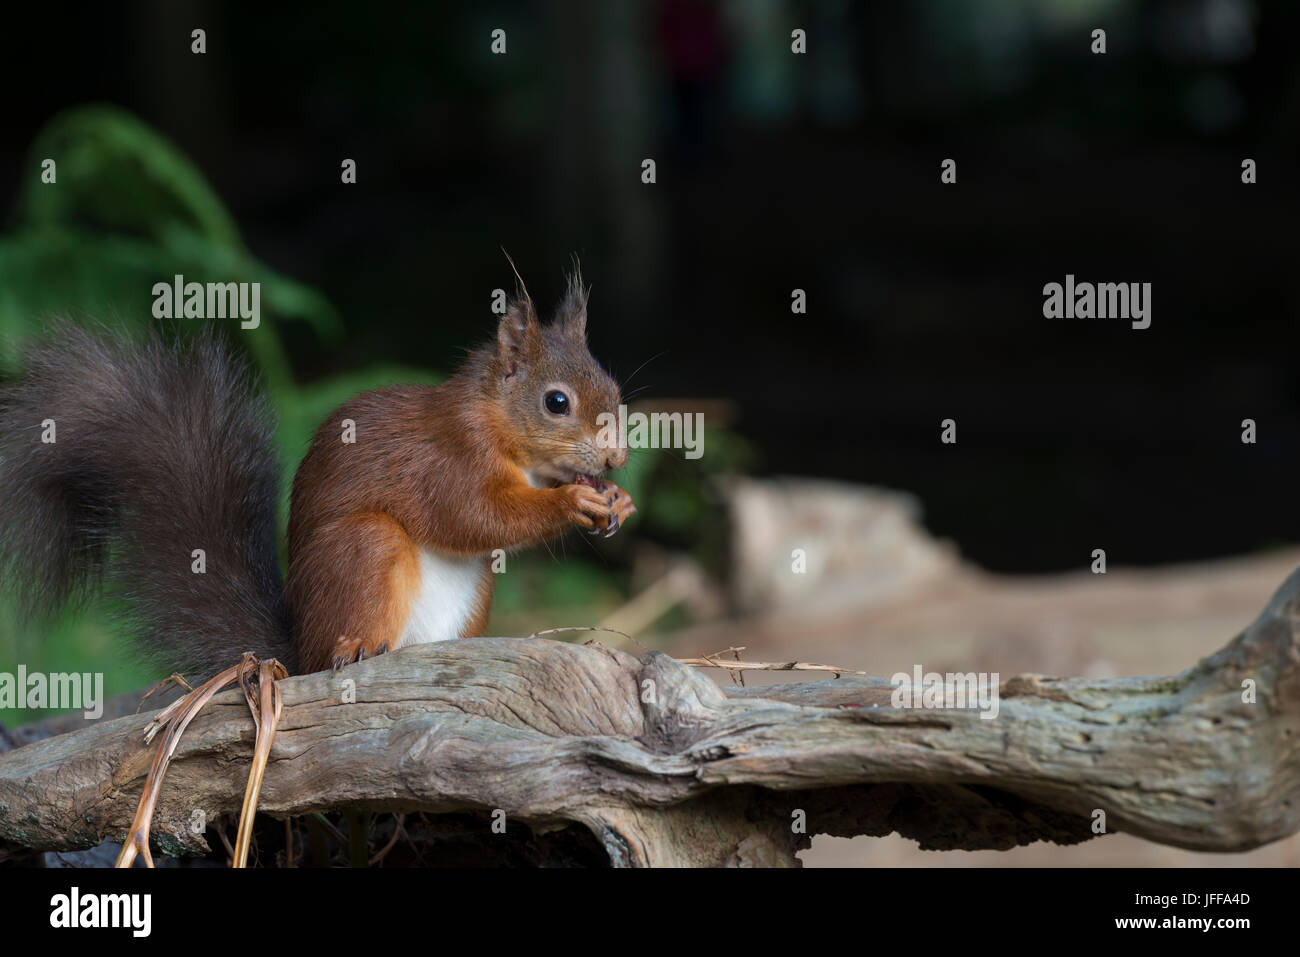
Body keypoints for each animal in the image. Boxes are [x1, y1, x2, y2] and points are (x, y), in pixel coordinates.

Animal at [0, 270, 636, 680]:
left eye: (612, 384)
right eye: (557, 402)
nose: (617, 458)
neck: (494, 422)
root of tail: (293, 655)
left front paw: (618, 502)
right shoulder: (448, 460)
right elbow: (474, 515)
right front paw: (573, 503)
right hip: (364, 548)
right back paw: (356, 650)